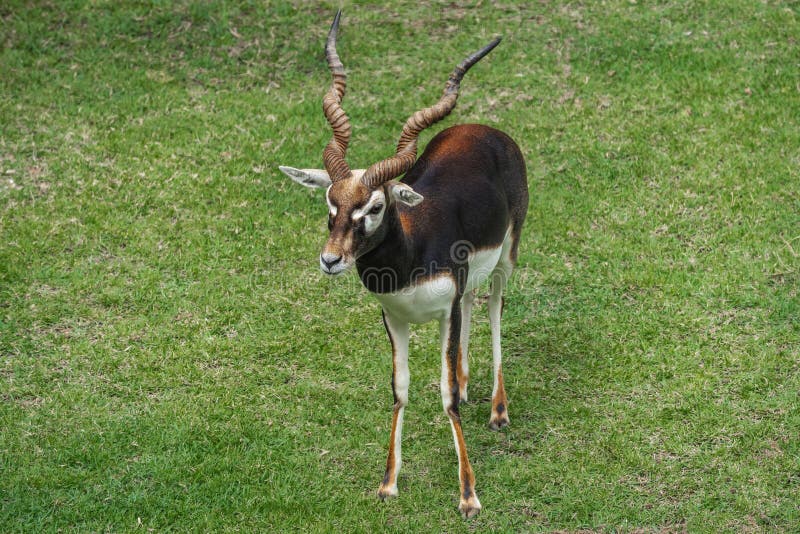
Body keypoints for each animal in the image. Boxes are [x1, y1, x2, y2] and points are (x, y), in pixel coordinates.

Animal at [279, 11, 528, 518]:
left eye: (374, 206)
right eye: (330, 201)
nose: (330, 259)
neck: (410, 255)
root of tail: (486, 129)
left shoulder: (444, 310)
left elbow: (446, 399)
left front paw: (468, 495)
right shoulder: (395, 318)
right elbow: (401, 388)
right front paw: (388, 483)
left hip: (508, 257)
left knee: (494, 306)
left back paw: (498, 409)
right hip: (468, 281)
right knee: (474, 302)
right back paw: (470, 382)